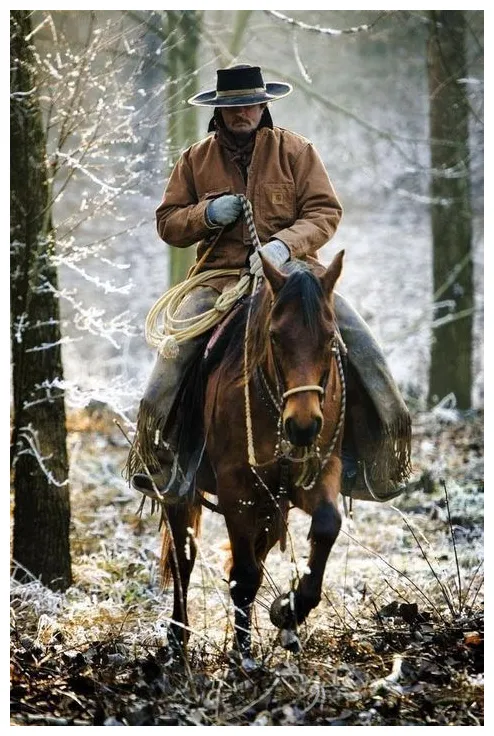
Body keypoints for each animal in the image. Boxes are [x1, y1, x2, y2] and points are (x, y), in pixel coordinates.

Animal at [159, 250, 346, 660]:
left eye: (330, 337)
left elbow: (327, 524)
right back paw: (177, 639)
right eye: (275, 336)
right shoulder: (236, 490)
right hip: (182, 492)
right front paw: (243, 656)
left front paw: (289, 611)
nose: (303, 425)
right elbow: (242, 578)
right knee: (184, 560)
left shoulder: (317, 472)